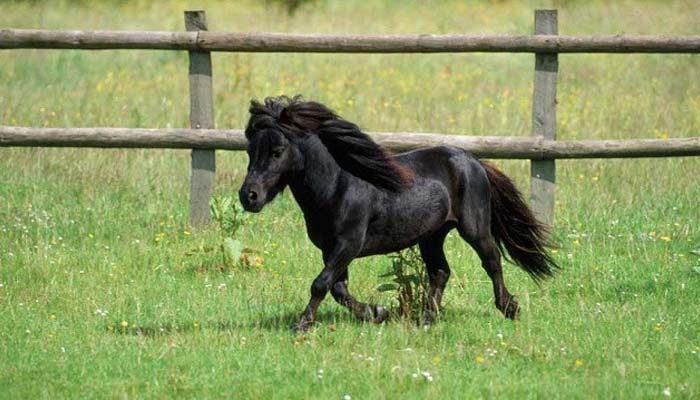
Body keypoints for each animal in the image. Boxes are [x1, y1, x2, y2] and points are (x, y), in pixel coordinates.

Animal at [238, 95, 558, 332]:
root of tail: (474, 161)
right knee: (440, 271)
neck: (337, 186)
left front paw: (302, 325)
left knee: (491, 261)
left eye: (278, 151)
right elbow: (338, 289)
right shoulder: (330, 249)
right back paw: (427, 319)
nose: (248, 196)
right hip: (432, 235)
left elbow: (321, 284)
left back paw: (509, 308)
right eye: (250, 151)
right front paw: (378, 312)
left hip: (473, 228)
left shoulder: (348, 244)